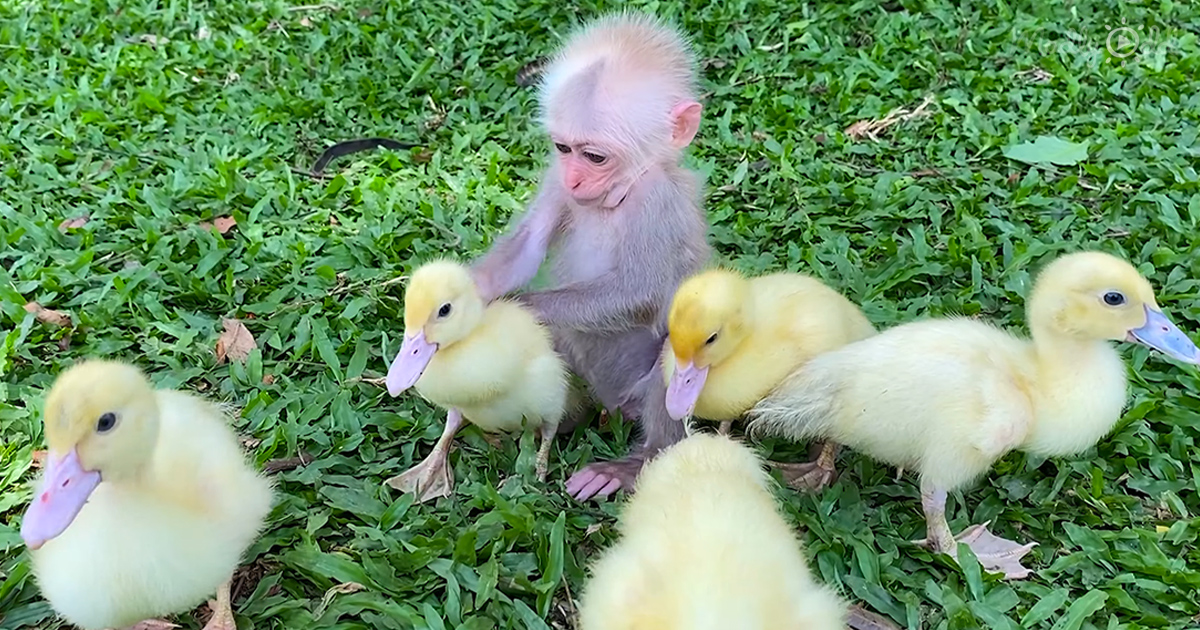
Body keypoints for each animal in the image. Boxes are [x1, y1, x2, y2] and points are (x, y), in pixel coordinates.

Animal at [469, 11, 712, 501]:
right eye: (564, 149)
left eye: (595, 157)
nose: (575, 180)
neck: (616, 197)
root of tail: (616, 405)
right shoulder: (554, 177)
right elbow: (528, 247)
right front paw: (472, 295)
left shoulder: (658, 201)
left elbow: (641, 296)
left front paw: (517, 308)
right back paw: (557, 420)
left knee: (674, 353)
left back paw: (636, 464)